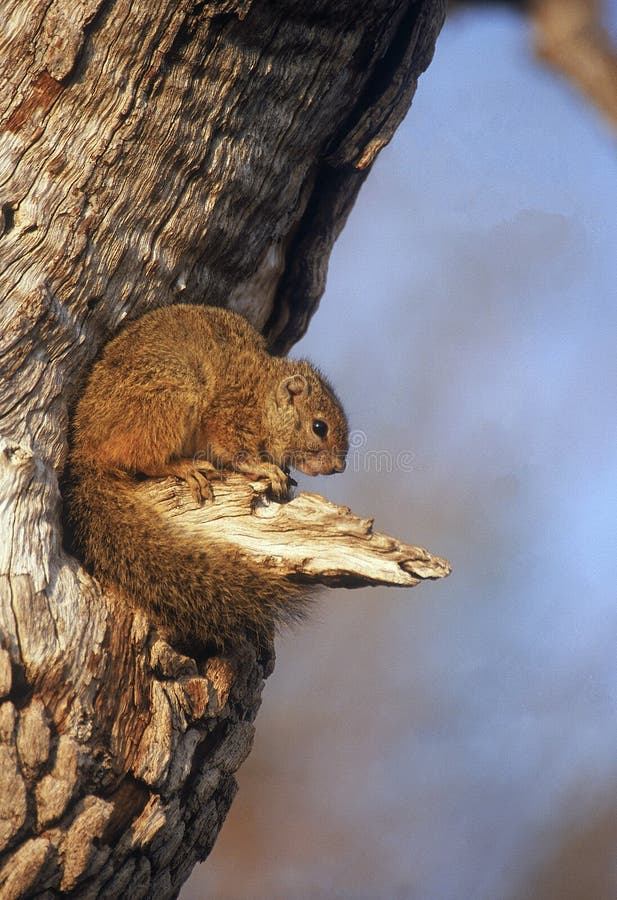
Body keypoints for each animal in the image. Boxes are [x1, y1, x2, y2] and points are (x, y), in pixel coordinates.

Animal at [66, 304, 348, 654]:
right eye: (319, 427)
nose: (340, 466)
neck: (261, 393)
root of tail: (87, 446)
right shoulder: (228, 414)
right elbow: (236, 450)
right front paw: (264, 468)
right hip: (170, 397)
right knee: (146, 459)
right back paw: (184, 468)